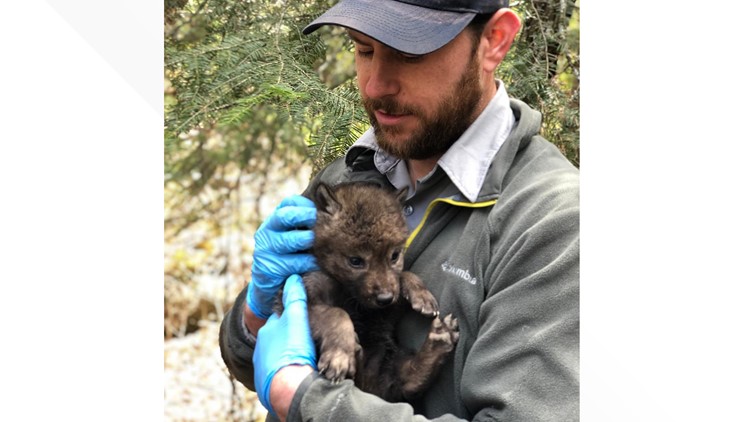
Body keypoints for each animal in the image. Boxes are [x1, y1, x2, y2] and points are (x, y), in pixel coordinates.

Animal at [297, 182, 459, 402]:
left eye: (394, 256)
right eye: (355, 261)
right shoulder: (306, 298)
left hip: (392, 359)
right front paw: (340, 356)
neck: (349, 293)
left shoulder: (387, 310)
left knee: (407, 381)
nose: (385, 298)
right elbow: (337, 313)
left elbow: (402, 275)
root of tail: (373, 389)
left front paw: (421, 294)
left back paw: (439, 339)